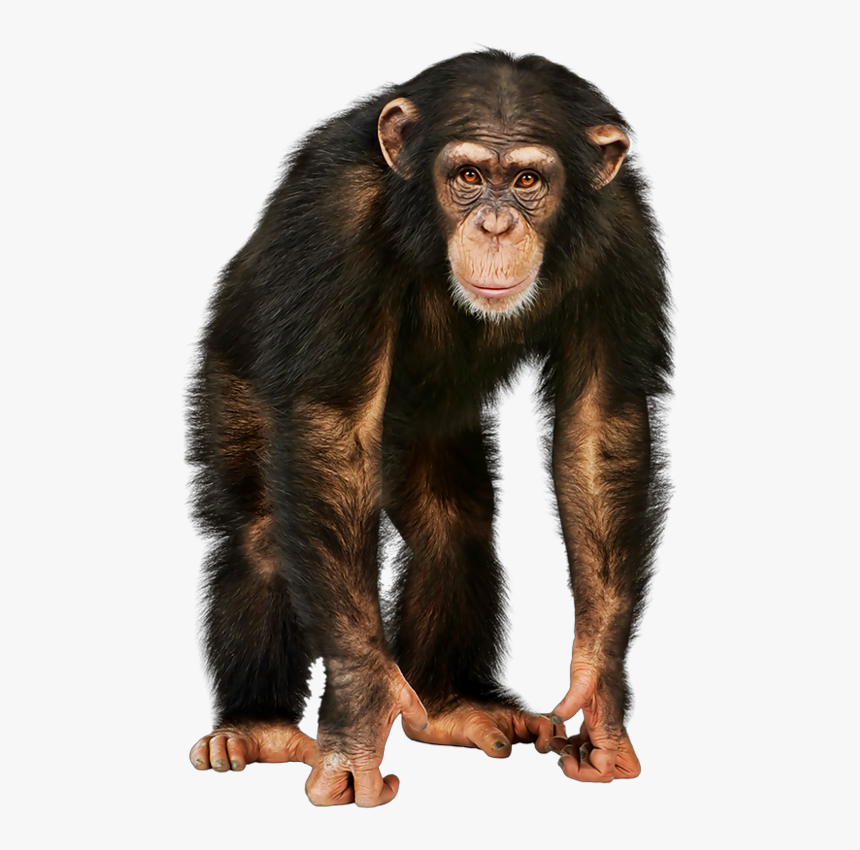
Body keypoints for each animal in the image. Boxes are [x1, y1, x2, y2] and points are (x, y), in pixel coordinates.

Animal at [187, 49, 672, 806]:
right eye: (468, 176)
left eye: (528, 180)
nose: (496, 225)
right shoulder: (334, 215)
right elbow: (331, 424)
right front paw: (360, 709)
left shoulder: (624, 234)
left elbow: (601, 425)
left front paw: (601, 693)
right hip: (231, 368)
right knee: (262, 529)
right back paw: (257, 727)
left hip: (428, 432)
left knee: (453, 522)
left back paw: (448, 706)